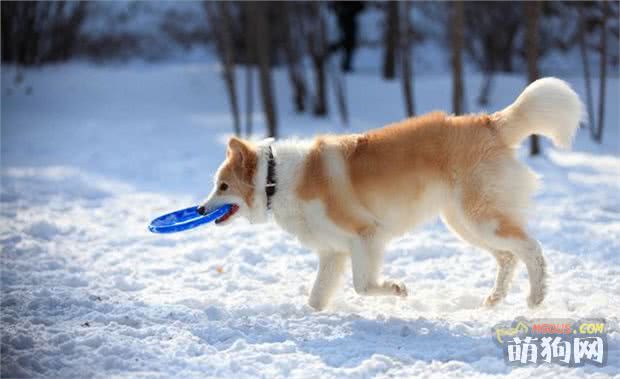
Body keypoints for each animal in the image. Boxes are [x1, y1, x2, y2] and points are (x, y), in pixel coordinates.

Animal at [199, 78, 580, 312]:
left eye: (223, 186)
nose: (201, 209)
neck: (275, 179)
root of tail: (490, 123)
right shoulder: (332, 253)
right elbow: (317, 298)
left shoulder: (366, 235)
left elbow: (363, 286)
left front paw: (397, 290)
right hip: (464, 223)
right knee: (508, 258)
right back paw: (494, 300)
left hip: (480, 219)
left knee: (531, 248)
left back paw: (536, 297)